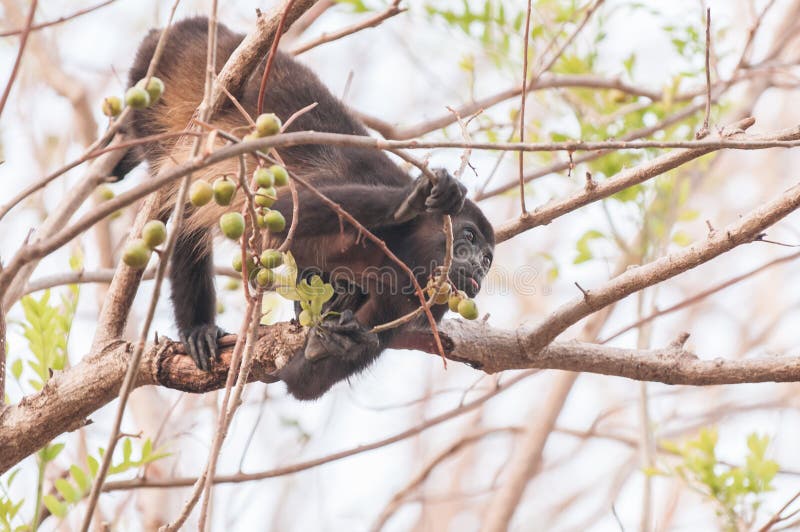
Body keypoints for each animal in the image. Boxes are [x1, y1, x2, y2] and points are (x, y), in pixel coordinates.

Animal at [113, 17, 495, 400]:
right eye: (468, 237)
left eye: (488, 258)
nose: (478, 267)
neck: (405, 248)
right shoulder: (370, 184)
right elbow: (285, 209)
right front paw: (414, 199)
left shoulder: (414, 300)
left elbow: (301, 382)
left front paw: (341, 341)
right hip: (158, 84)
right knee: (184, 208)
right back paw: (199, 329)